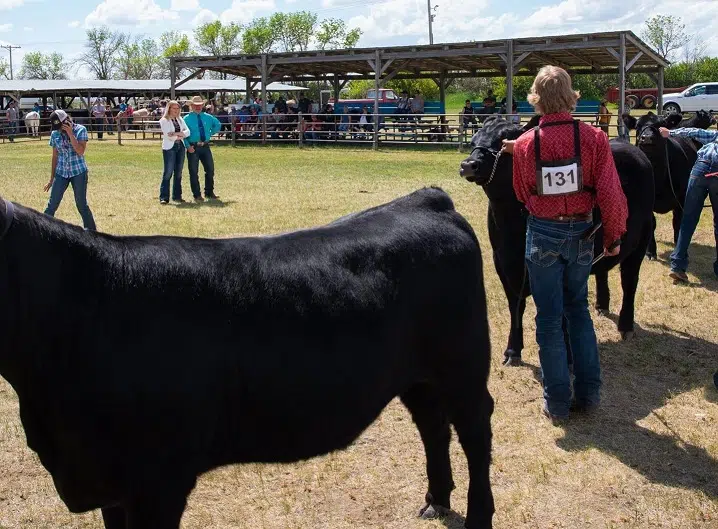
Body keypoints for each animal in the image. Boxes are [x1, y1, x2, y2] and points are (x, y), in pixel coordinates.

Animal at [0, 188, 495, 529]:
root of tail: (425, 200)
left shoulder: (158, 481)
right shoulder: (109, 482)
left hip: (464, 367)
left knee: (474, 432)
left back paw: (477, 515)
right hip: (418, 376)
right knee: (433, 426)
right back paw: (436, 500)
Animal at [459, 116, 654, 366]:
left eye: (504, 141)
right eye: (473, 140)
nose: (468, 164)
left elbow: (560, 314)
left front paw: (569, 357)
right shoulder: (502, 264)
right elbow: (516, 307)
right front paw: (512, 351)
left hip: (641, 239)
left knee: (629, 281)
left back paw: (626, 326)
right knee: (603, 270)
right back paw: (601, 305)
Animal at [622, 111, 699, 259]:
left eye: (660, 125)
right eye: (638, 126)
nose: (647, 137)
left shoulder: (682, 199)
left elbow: (678, 223)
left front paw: (679, 252)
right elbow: (652, 223)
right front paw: (650, 251)